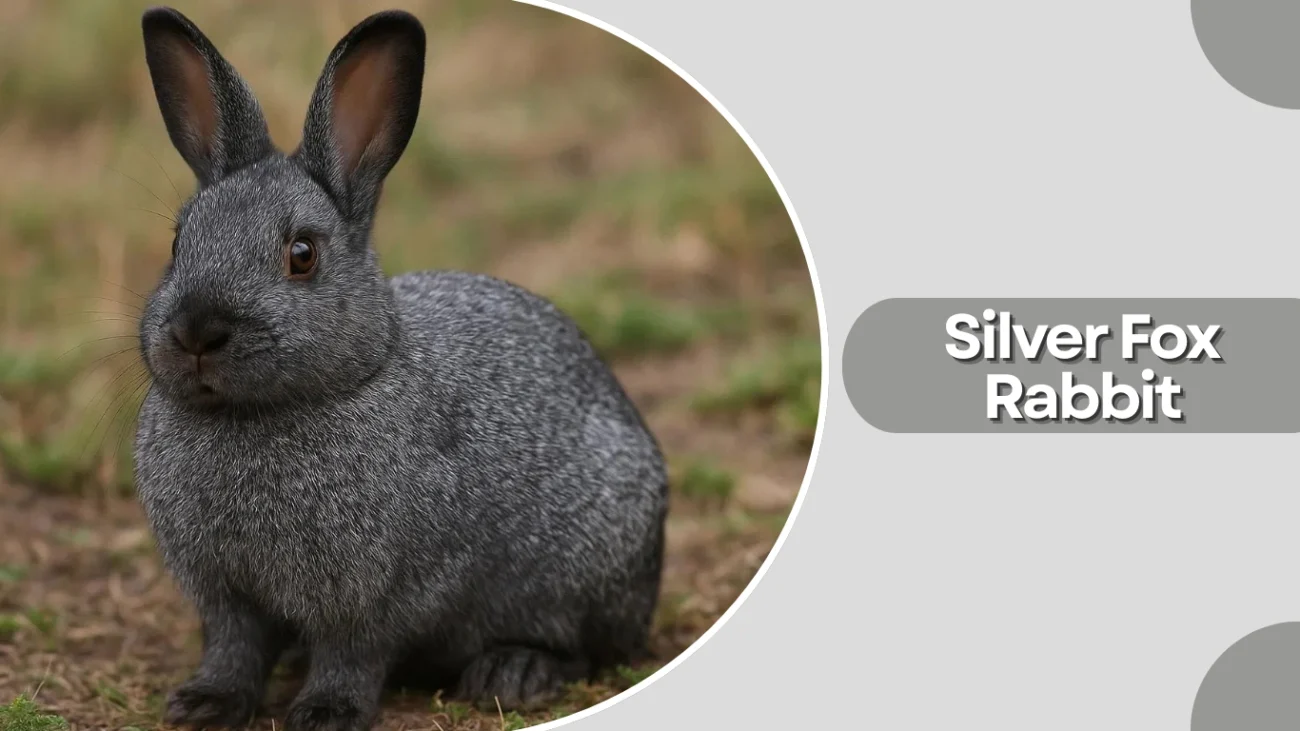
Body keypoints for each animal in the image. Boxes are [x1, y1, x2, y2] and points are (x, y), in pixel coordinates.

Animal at [131, 7, 669, 731]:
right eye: (176, 243)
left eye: (302, 254)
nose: (196, 331)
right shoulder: (227, 594)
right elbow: (232, 647)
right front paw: (203, 703)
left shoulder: (378, 592)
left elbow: (352, 653)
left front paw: (327, 713)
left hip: (593, 566)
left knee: (591, 648)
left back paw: (514, 672)